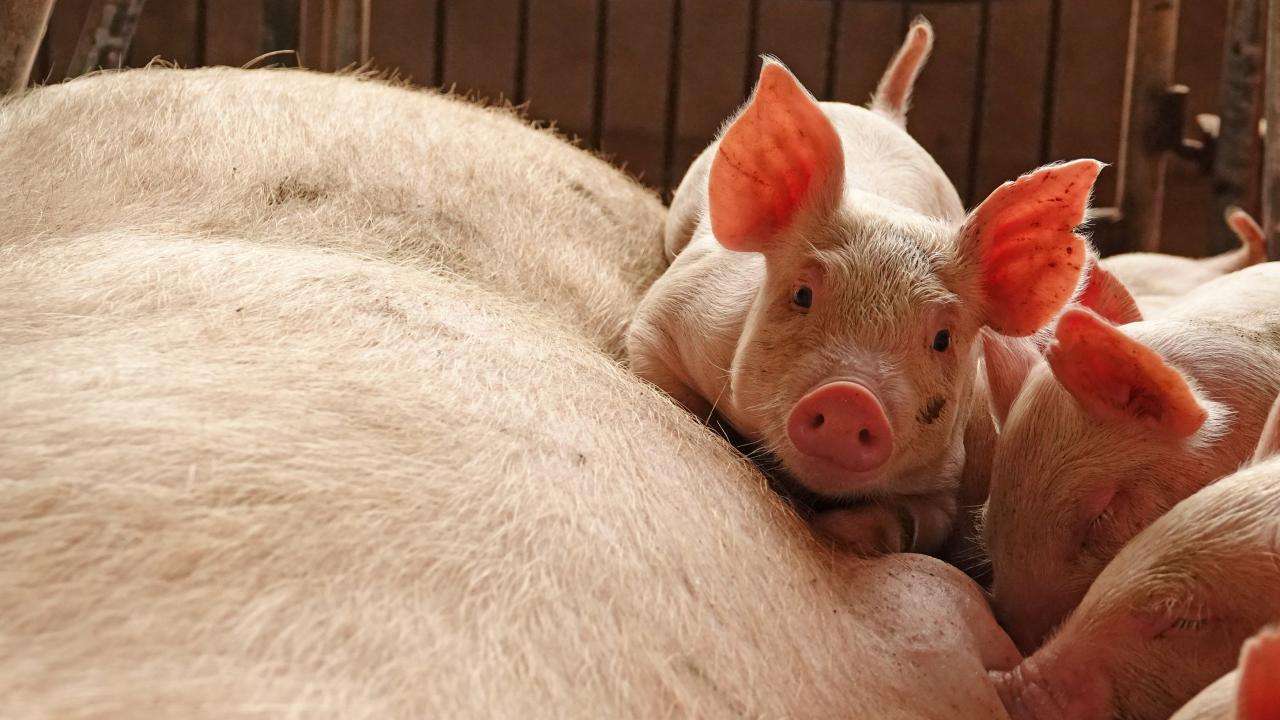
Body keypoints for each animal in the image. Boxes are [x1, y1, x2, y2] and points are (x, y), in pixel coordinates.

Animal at [627, 19, 1103, 554]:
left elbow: (918, 520)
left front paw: (844, 532)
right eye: (803, 295)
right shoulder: (670, 315)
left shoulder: (944, 479)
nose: (849, 397)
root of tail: (885, 114)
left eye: (943, 339)